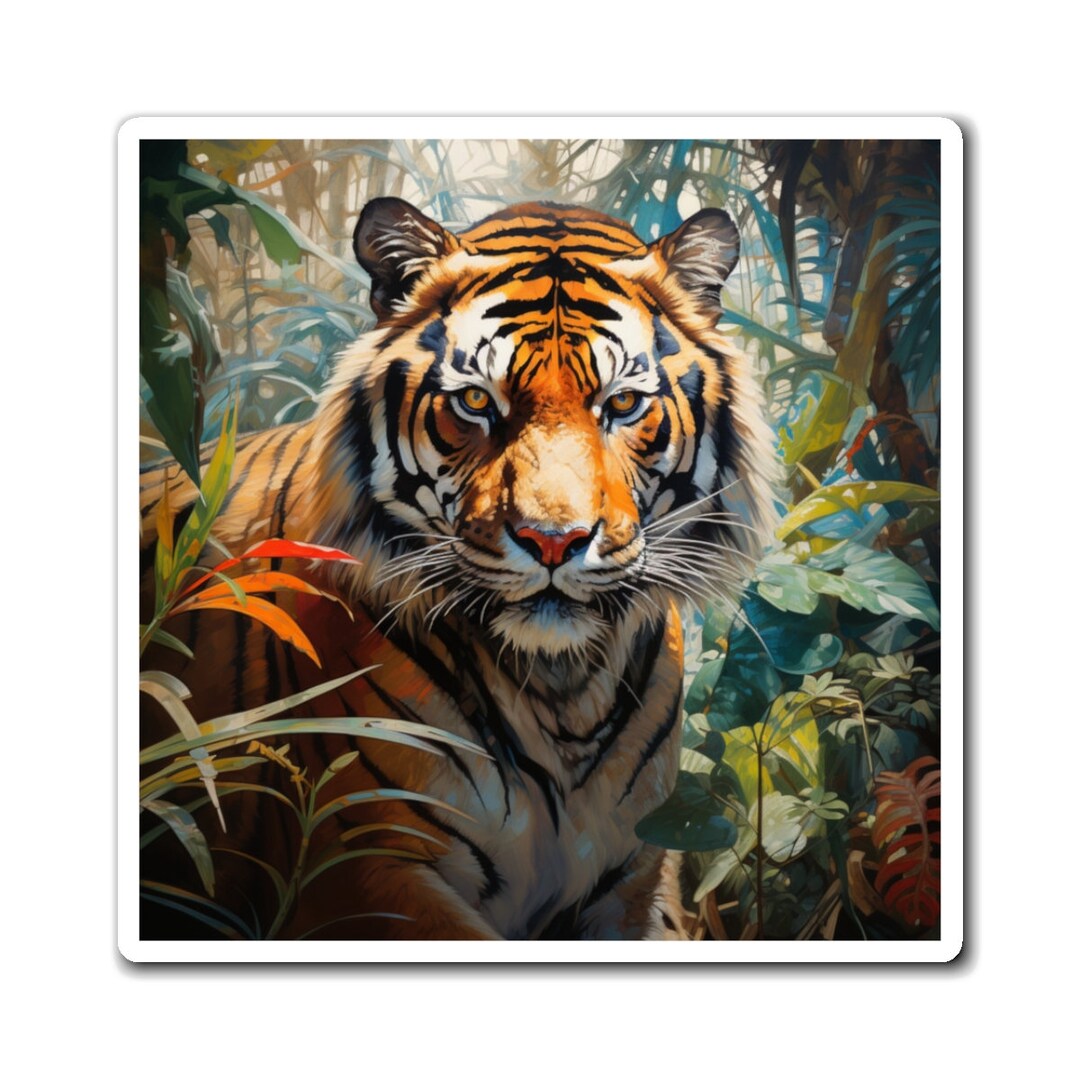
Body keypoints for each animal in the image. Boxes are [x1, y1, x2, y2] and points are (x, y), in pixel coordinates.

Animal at [139, 197, 777, 941]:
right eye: (476, 402)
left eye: (622, 404)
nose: (553, 540)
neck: (564, 694)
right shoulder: (369, 870)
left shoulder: (636, 879)